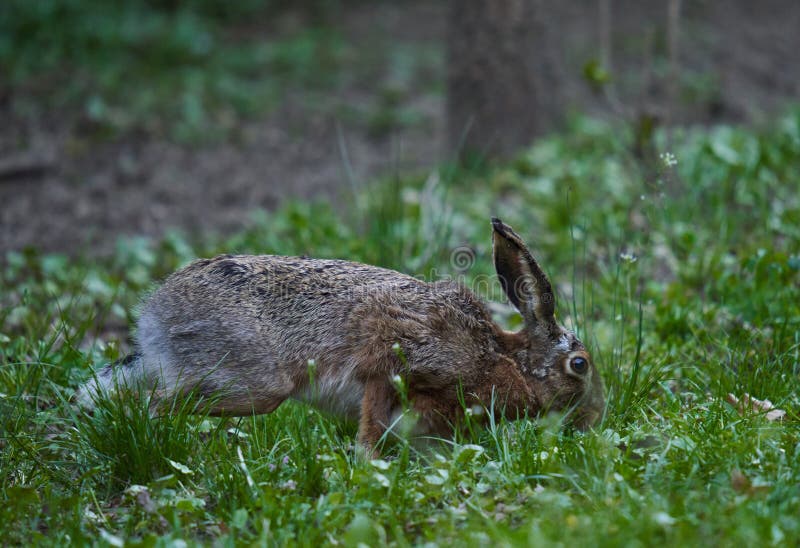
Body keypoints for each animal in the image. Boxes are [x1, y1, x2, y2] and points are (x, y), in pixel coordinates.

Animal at [79, 218, 605, 454]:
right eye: (578, 365)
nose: (596, 416)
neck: (502, 358)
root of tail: (154, 312)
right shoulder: (392, 361)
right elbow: (372, 417)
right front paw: (366, 462)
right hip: (252, 383)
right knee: (158, 403)